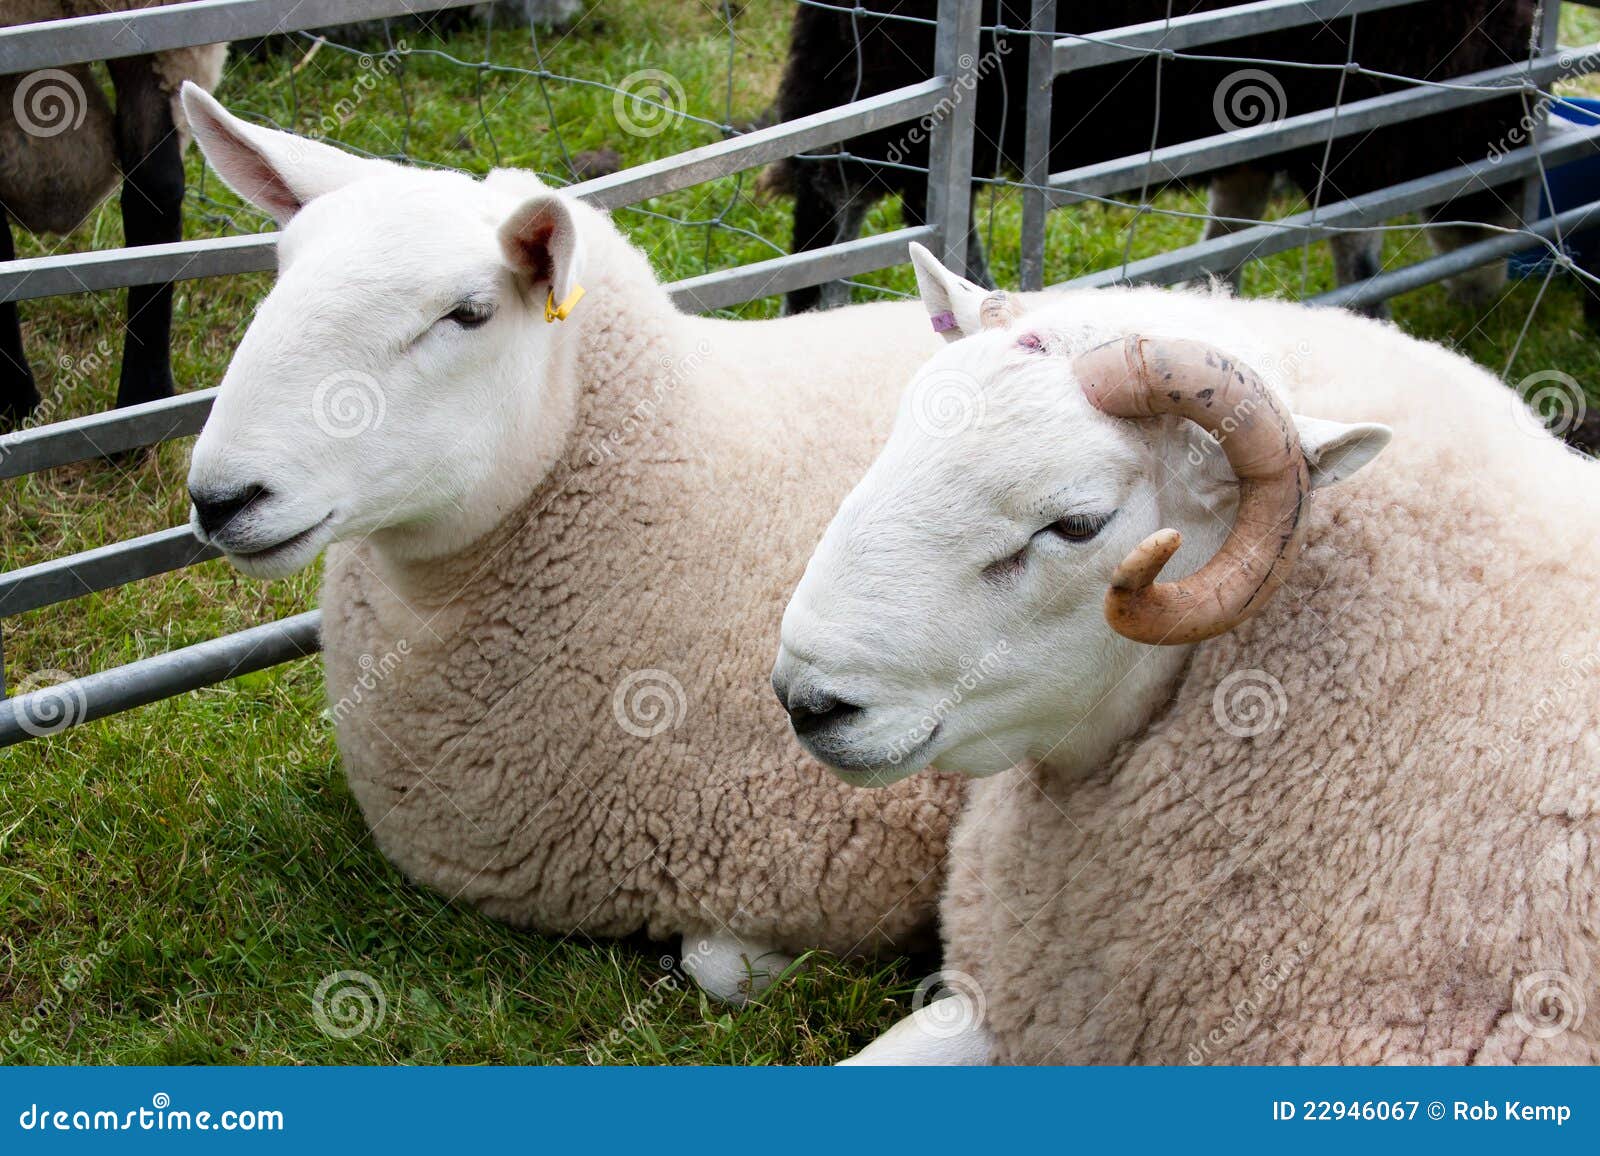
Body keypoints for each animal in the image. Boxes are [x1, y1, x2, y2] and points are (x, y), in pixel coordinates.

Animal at [765, 0, 1532, 316]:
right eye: (1505, 176)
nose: (1486, 297)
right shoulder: (1352, 127)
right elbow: (1359, 246)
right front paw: (1374, 317)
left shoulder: (1257, 127)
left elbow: (1231, 226)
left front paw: (1216, 297)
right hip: (904, 82)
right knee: (840, 194)